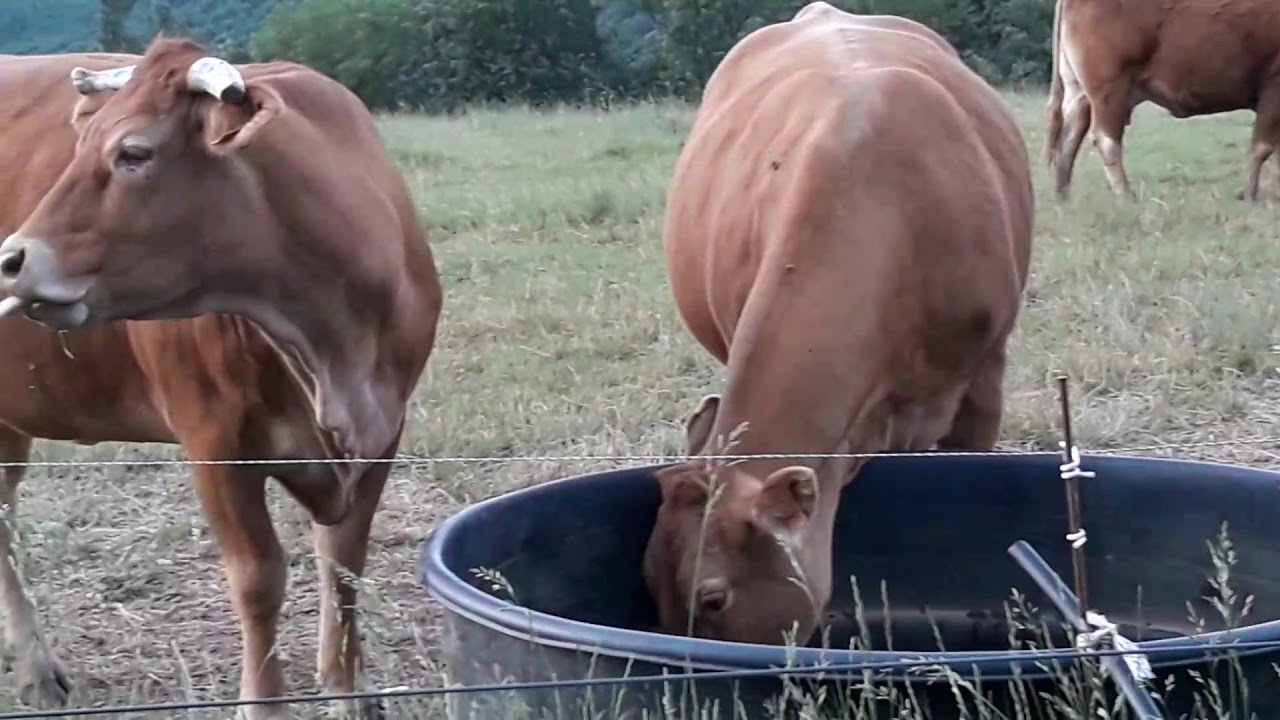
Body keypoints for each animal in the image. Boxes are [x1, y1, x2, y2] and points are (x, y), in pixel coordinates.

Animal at [0, 37, 442, 718]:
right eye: (79, 146)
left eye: (133, 152)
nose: (12, 258)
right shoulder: (216, 443)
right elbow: (259, 578)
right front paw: (263, 703)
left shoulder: (384, 431)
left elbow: (343, 564)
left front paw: (347, 691)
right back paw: (35, 667)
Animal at [1044, 0, 1280, 202]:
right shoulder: (1272, 87)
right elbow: (1263, 148)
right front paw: (1250, 196)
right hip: (1109, 90)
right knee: (1106, 140)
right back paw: (1126, 196)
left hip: (1080, 93)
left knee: (1068, 139)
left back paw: (1062, 196)